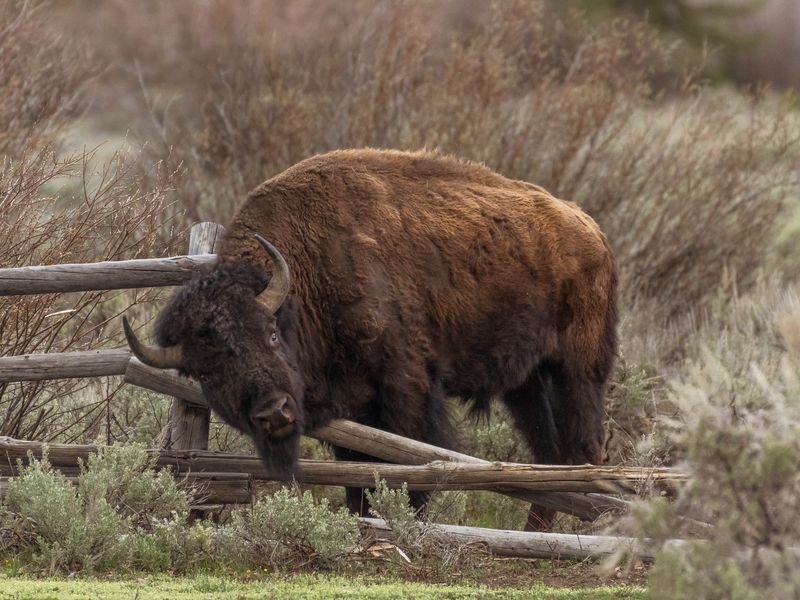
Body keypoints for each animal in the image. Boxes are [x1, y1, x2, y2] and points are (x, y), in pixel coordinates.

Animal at [124, 148, 617, 529]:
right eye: (205, 371)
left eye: (270, 332)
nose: (274, 413)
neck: (307, 275)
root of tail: (589, 227)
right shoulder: (351, 408)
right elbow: (357, 479)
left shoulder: (405, 387)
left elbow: (407, 467)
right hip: (525, 385)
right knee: (548, 455)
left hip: (577, 370)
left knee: (585, 448)